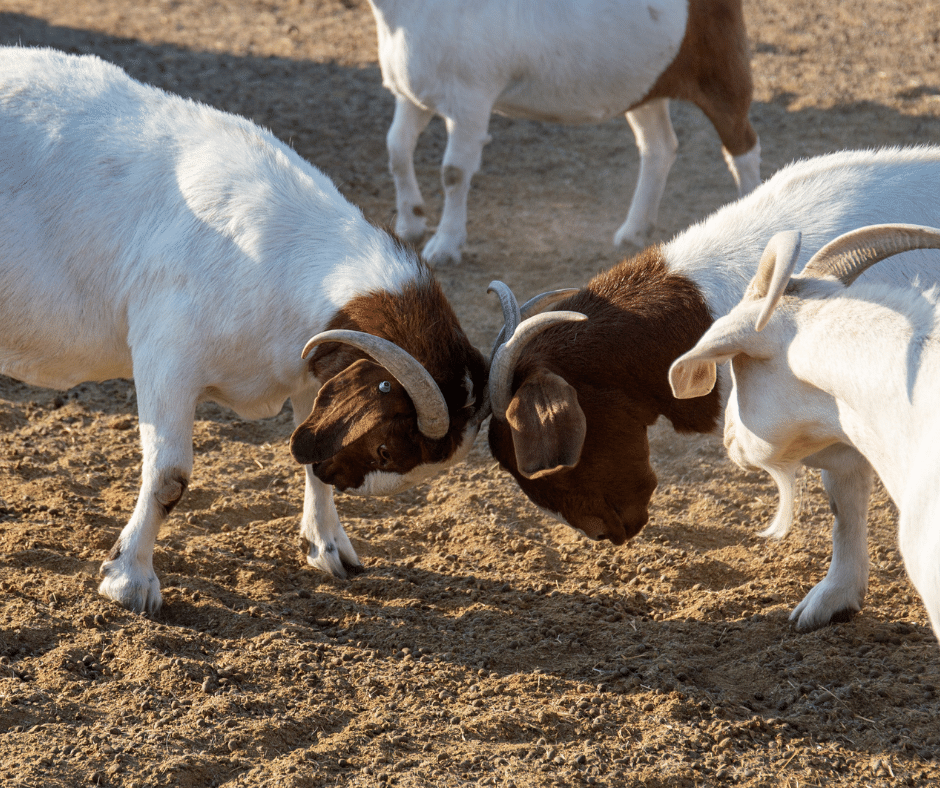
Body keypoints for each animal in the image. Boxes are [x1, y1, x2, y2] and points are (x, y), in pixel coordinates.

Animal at [0, 47, 484, 616]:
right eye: (386, 449)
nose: (342, 475)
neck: (279, 253)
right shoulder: (166, 356)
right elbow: (169, 476)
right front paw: (129, 580)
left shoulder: (311, 370)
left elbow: (307, 454)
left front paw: (329, 548)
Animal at [364, 0, 760, 264]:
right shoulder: (412, 96)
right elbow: (396, 149)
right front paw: (410, 223)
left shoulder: (470, 101)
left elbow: (453, 173)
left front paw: (444, 246)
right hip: (647, 85)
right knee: (659, 147)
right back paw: (634, 230)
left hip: (721, 69)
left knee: (744, 148)